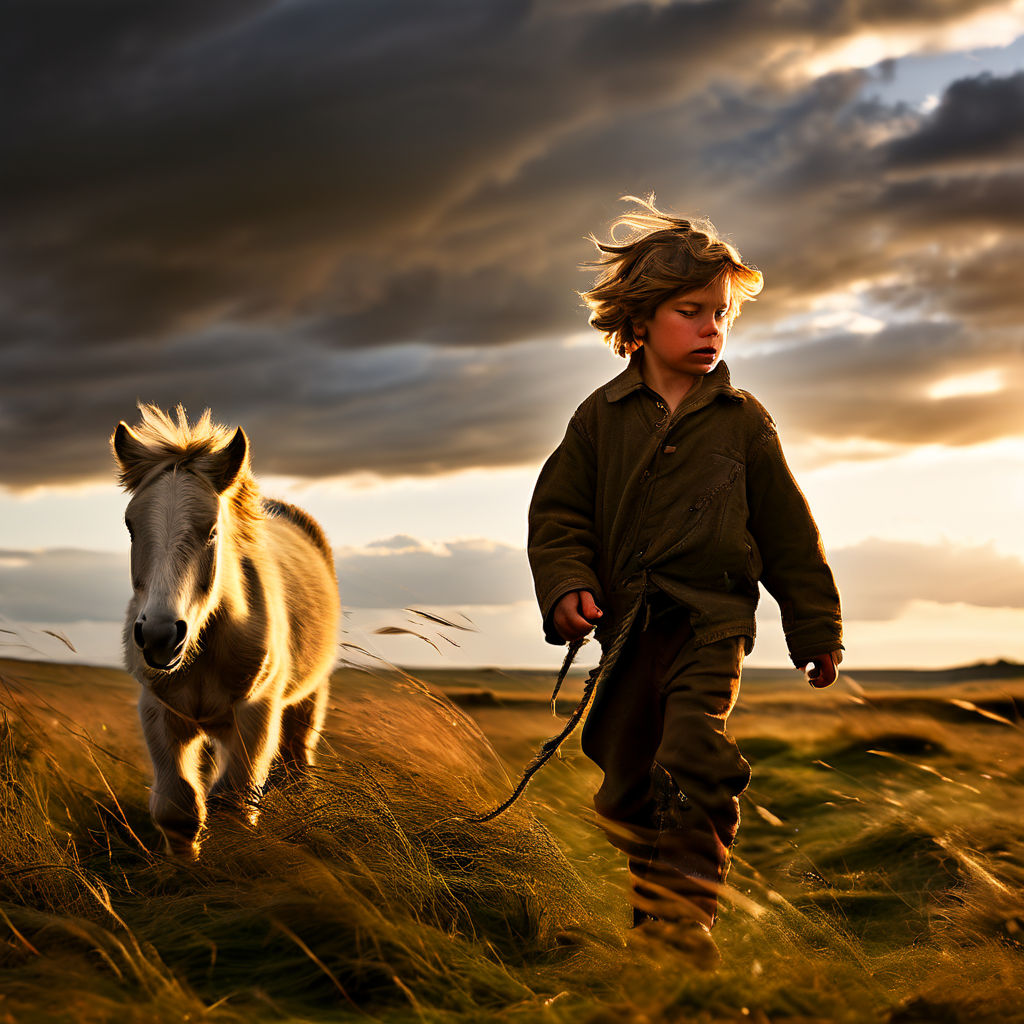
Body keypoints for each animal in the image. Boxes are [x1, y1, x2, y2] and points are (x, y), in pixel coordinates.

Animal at [111, 405, 341, 858]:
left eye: (213, 529)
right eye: (130, 525)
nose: (160, 636)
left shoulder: (256, 715)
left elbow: (234, 805)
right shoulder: (159, 712)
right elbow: (178, 808)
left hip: (308, 698)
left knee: (298, 762)